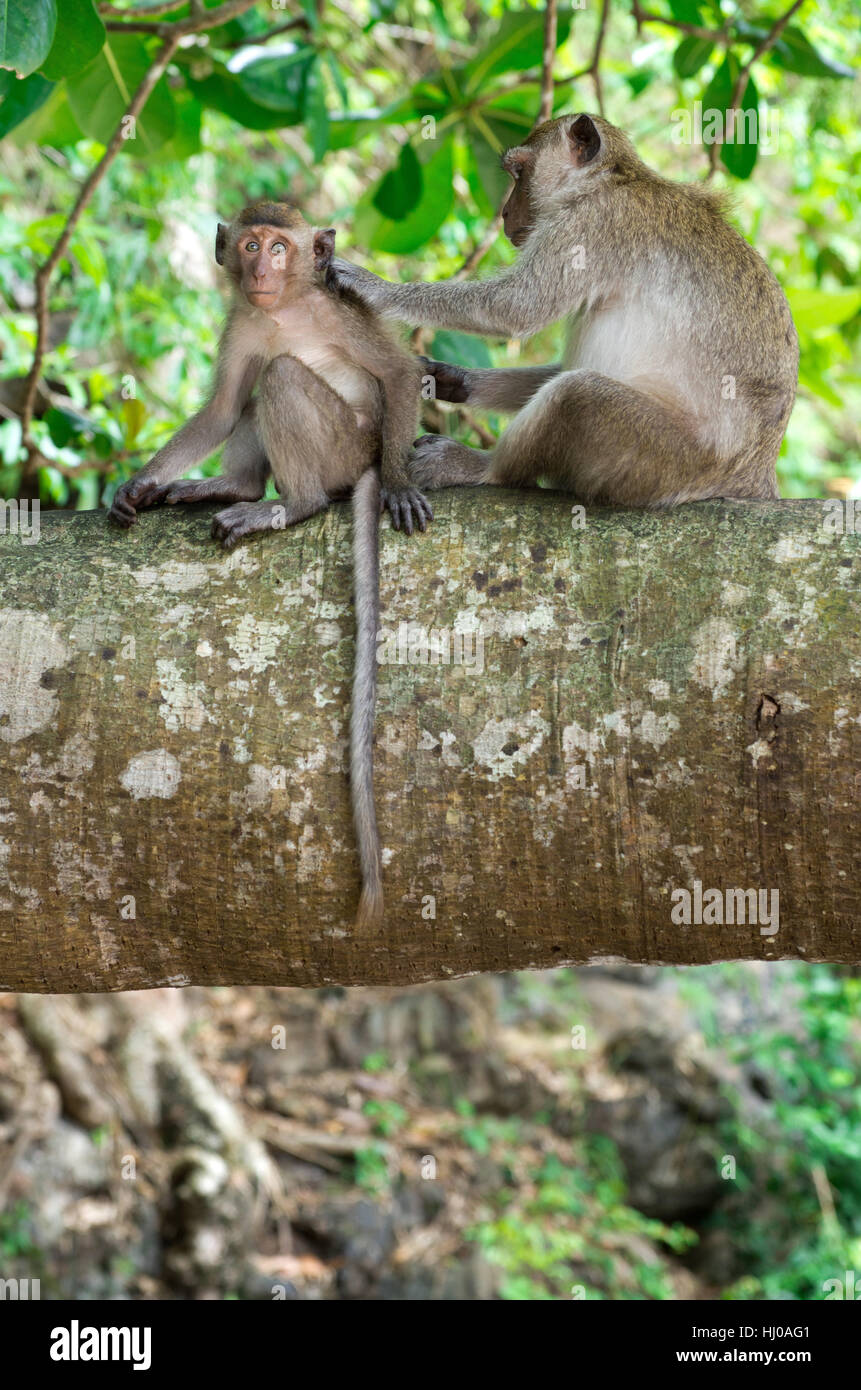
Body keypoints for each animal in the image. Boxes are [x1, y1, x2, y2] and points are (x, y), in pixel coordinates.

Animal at [108, 201, 433, 928]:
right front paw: (137, 486)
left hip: (345, 444)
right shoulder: (243, 320)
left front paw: (402, 485)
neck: (284, 308)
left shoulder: (339, 310)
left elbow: (399, 375)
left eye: (281, 248)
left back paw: (296, 505)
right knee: (260, 383)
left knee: (282, 377)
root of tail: (363, 461)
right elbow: (225, 406)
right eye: (252, 245)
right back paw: (235, 489)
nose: (260, 270)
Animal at [328, 113, 799, 509]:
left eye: (520, 173)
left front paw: (377, 288)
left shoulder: (590, 225)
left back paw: (485, 468)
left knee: (577, 394)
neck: (609, 179)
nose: (504, 212)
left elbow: (515, 309)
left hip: (670, 462)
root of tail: (754, 475)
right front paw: (450, 379)